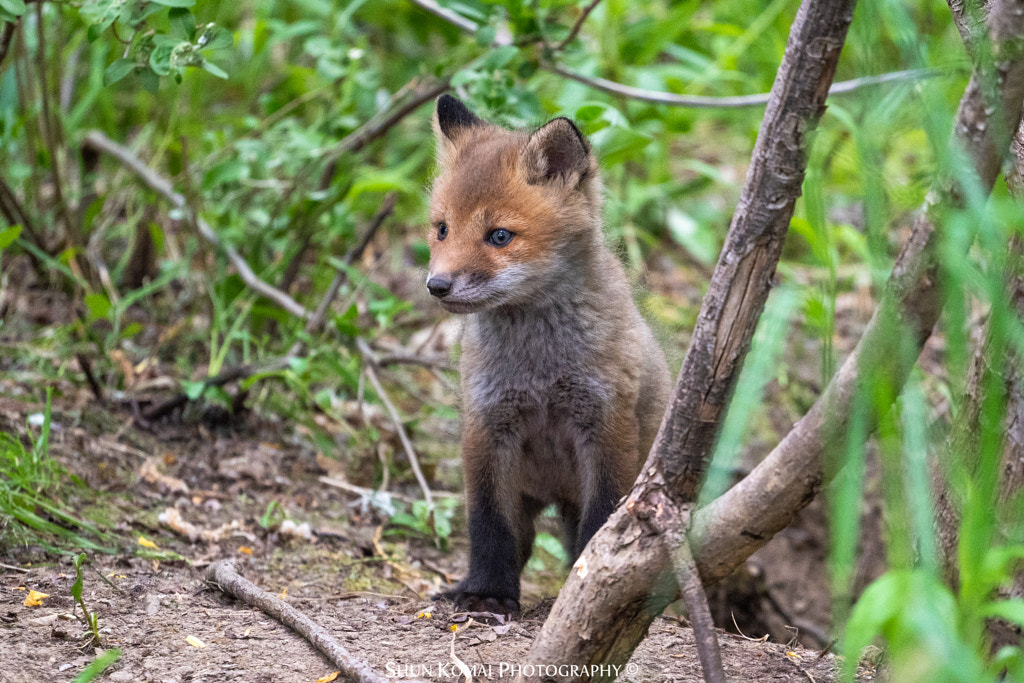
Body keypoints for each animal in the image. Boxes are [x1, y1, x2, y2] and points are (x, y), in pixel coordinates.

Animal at [426, 94, 671, 618]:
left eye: (499, 236)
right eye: (442, 230)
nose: (437, 285)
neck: (538, 368)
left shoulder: (606, 425)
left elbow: (601, 524)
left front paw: (586, 589)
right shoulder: (488, 425)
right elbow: (488, 525)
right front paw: (487, 592)